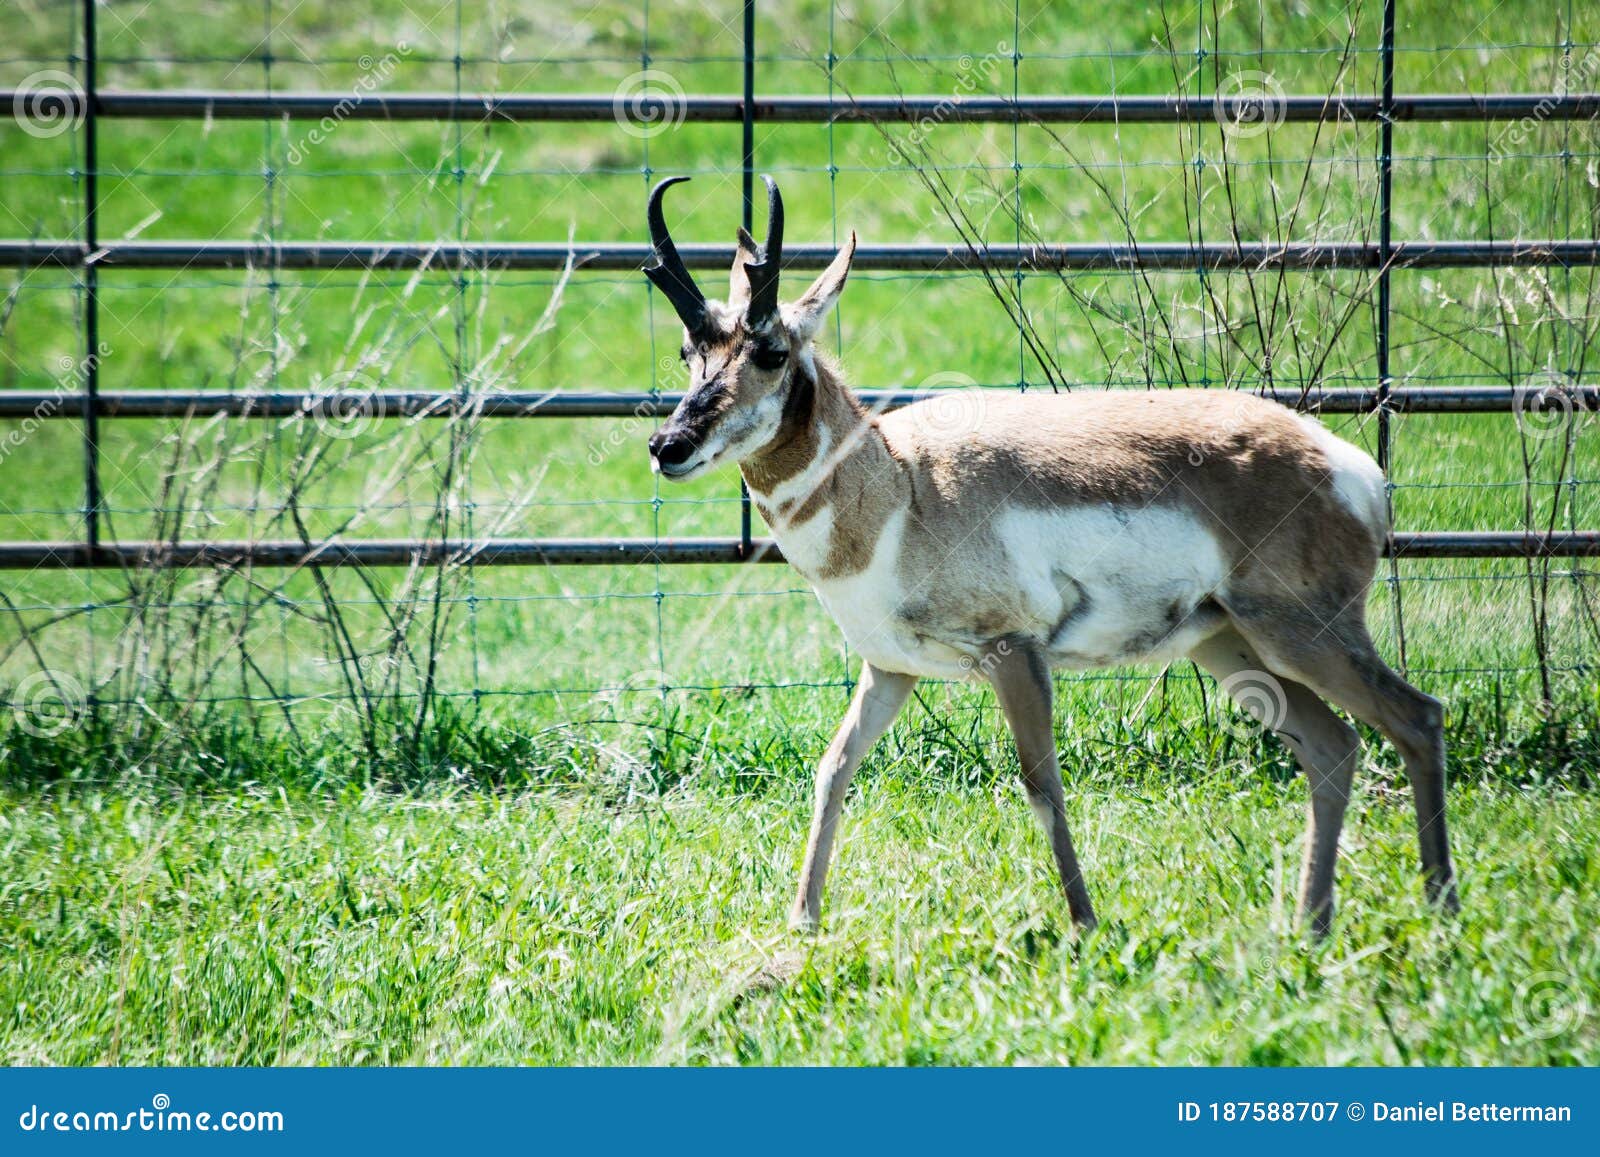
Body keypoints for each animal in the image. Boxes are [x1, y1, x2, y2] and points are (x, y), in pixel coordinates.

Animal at [640, 174, 1459, 936]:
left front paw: (1084, 922)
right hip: (1234, 647)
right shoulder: (891, 670)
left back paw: (1439, 910)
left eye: (771, 350)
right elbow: (833, 769)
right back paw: (1311, 926)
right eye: (688, 351)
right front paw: (803, 921)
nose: (666, 445)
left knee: (1416, 716)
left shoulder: (1013, 652)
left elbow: (1041, 784)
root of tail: (1347, 464)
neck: (902, 483)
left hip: (1300, 633)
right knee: (1335, 745)